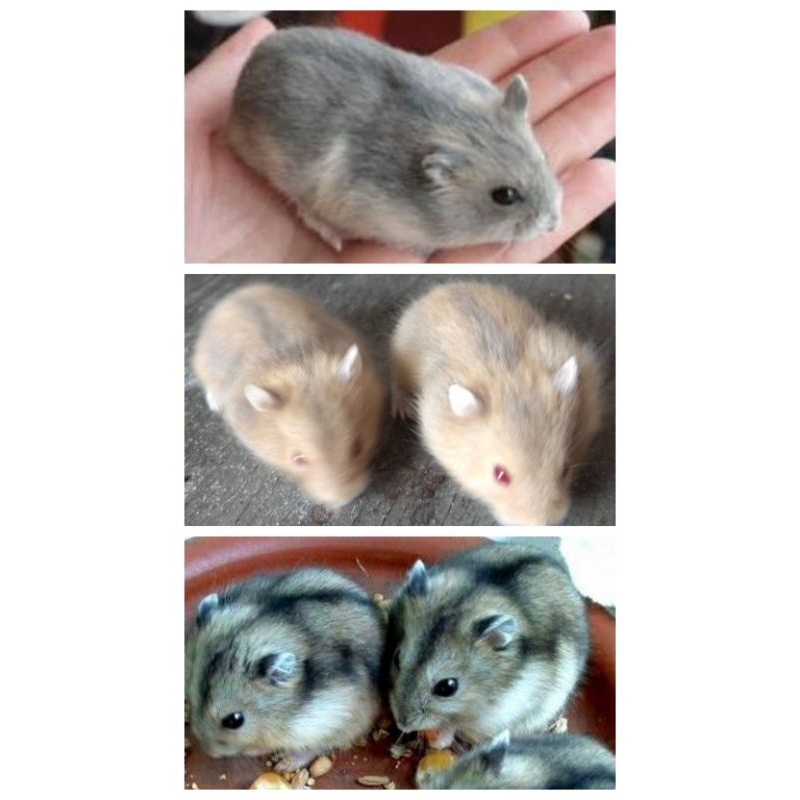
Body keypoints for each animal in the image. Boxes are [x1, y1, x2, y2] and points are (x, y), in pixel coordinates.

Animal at [390, 282, 600, 525]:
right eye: (500, 475)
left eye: (566, 468)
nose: (542, 522)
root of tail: (442, 289)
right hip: (400, 358)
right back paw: (402, 411)